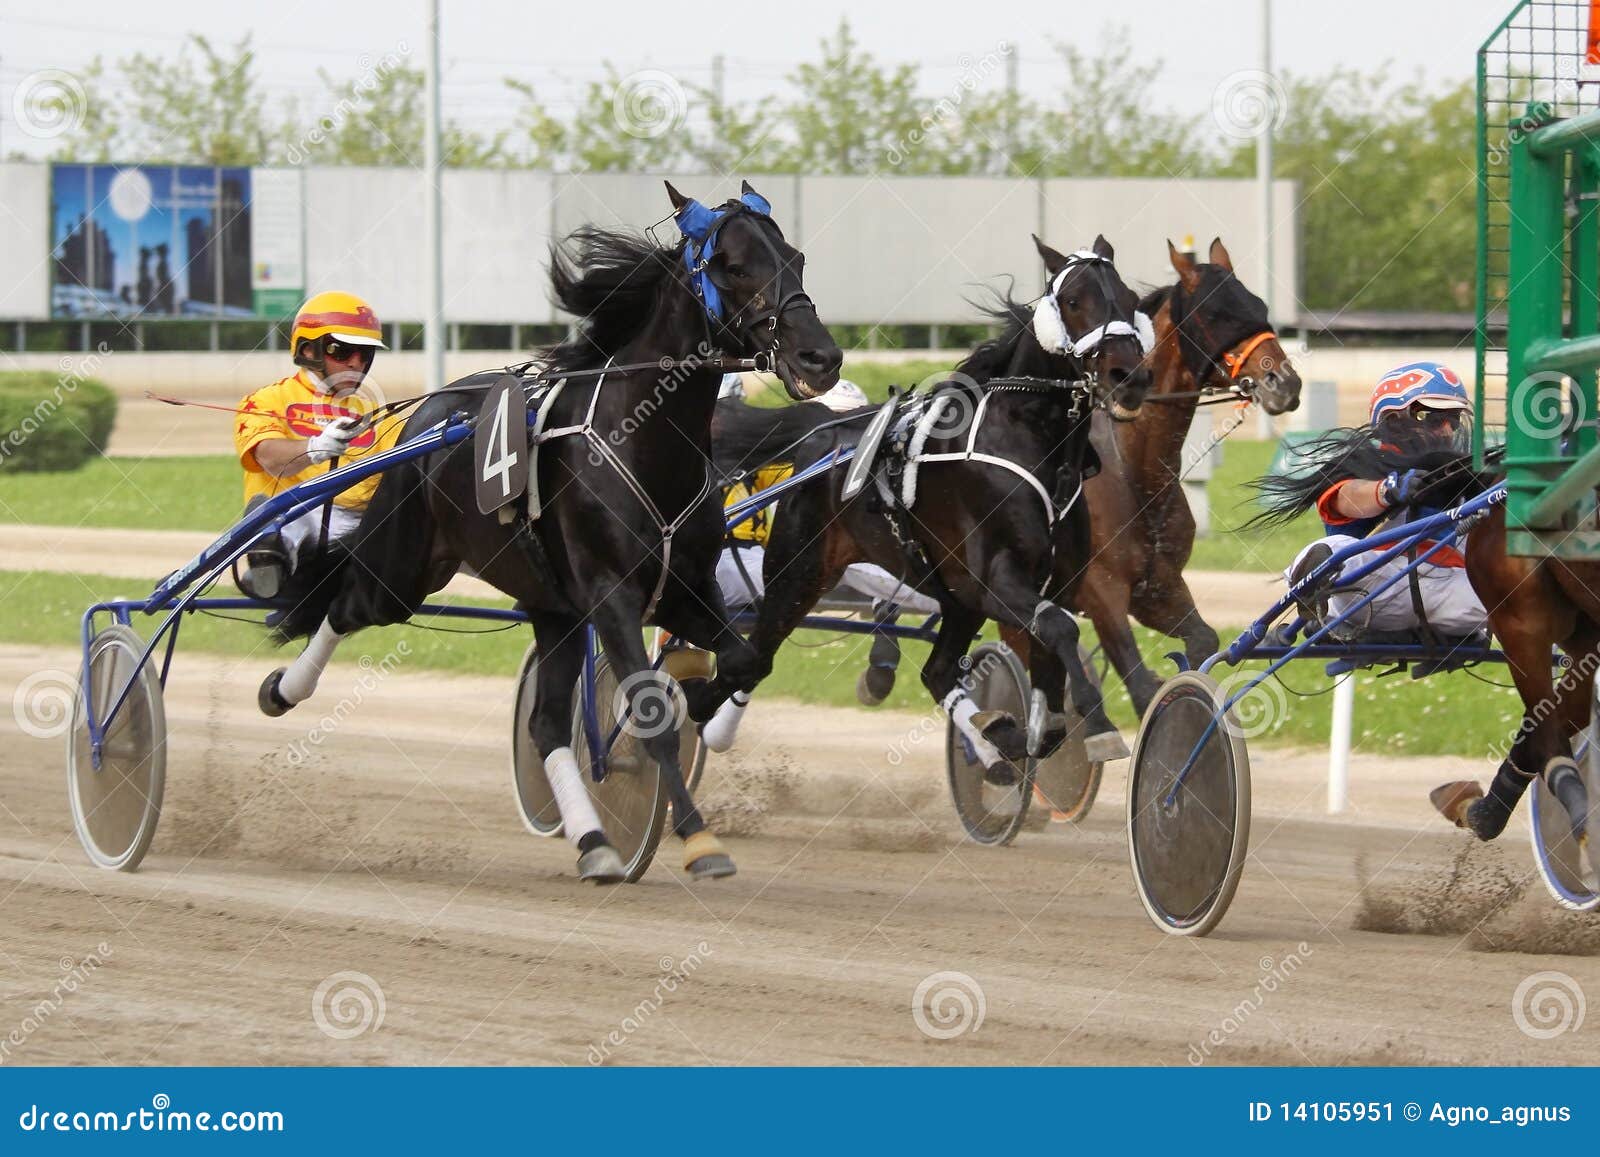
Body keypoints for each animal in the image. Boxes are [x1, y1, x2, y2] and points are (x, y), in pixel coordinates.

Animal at [260, 181, 842, 884]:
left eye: (797, 258)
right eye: (732, 266)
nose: (821, 356)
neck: (642, 439)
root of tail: (435, 410)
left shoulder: (688, 590)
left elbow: (747, 658)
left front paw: (699, 702)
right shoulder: (611, 597)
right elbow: (650, 714)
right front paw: (701, 841)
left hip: (554, 609)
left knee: (544, 726)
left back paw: (594, 843)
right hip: (405, 568)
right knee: (348, 605)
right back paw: (281, 690)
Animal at [704, 234, 1153, 778]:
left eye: (1131, 300)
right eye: (1072, 301)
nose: (1128, 376)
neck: (1025, 441)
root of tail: (821, 435)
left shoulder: (1049, 584)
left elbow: (1049, 665)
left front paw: (1024, 732)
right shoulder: (994, 580)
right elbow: (1060, 629)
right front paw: (1100, 724)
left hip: (953, 601)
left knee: (936, 672)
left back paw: (993, 744)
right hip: (799, 572)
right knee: (750, 660)